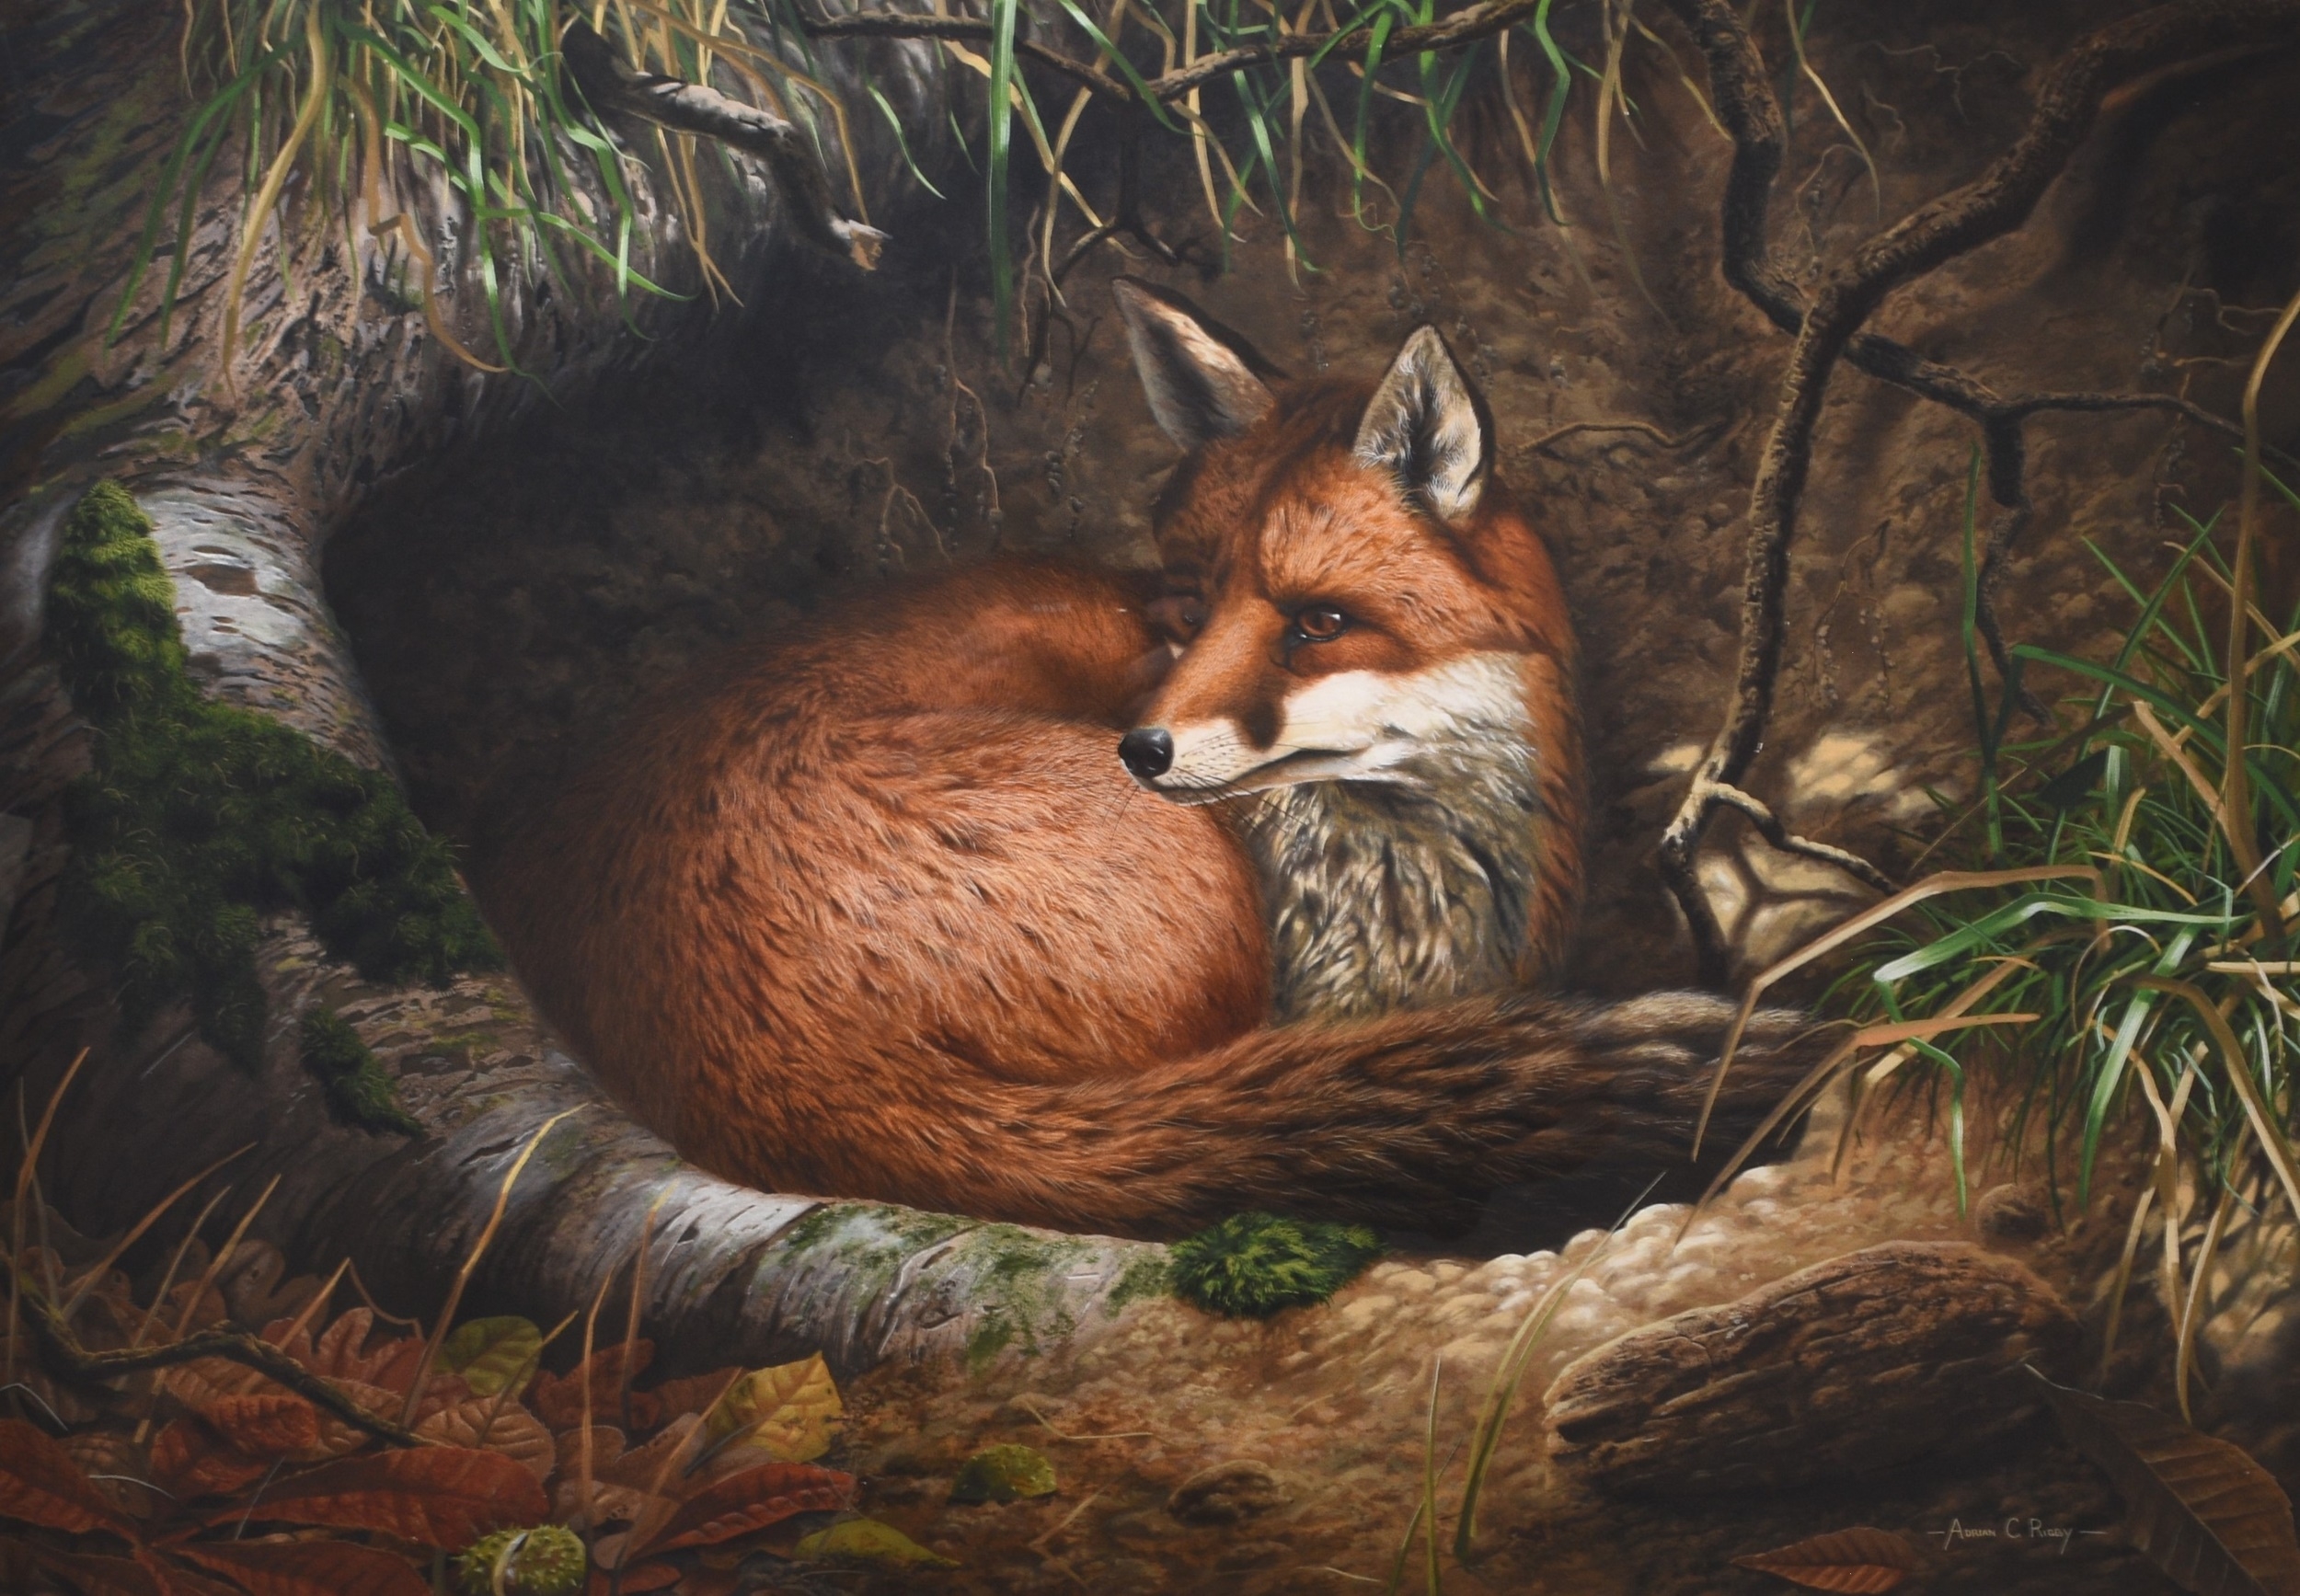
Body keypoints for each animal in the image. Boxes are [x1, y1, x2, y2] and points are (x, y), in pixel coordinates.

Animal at [480, 280, 1822, 1241]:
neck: (1381, 909)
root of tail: (777, 1054)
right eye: (1184, 606)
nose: (1143, 747)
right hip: (1196, 910)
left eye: (1316, 621)